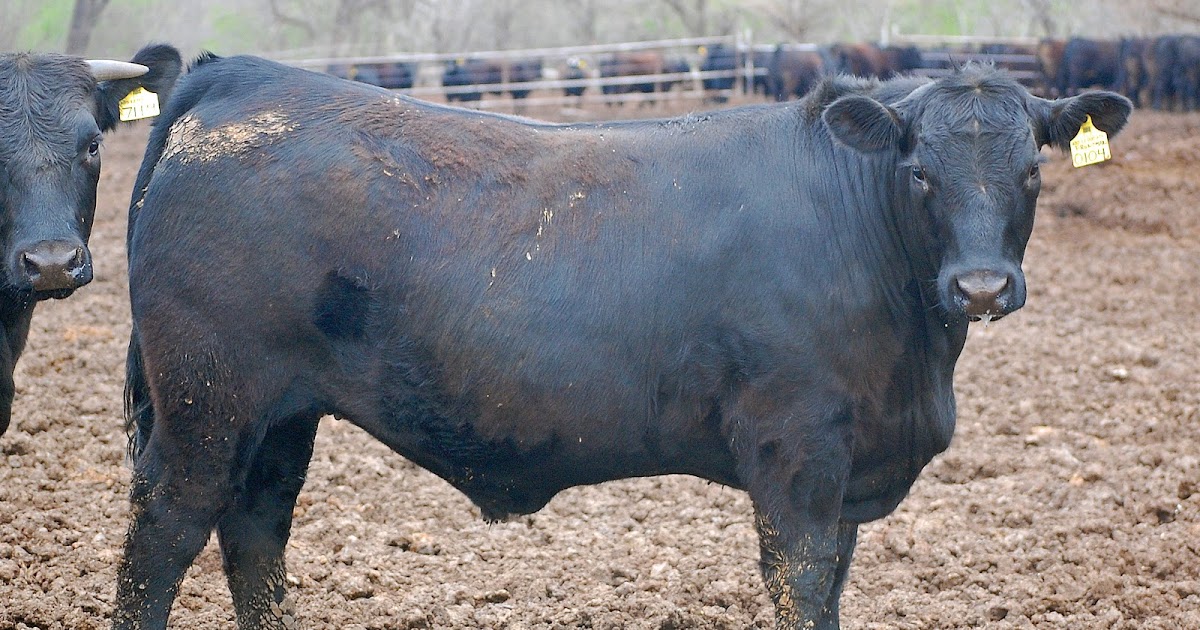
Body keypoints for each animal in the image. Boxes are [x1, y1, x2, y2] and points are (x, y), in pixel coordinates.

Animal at [112, 54, 1131, 629]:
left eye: (1033, 169)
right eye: (919, 171)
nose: (980, 286)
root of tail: (241, 77)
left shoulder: (846, 474)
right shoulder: (796, 453)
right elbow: (802, 588)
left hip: (280, 419)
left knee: (256, 537)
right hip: (205, 402)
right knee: (164, 538)